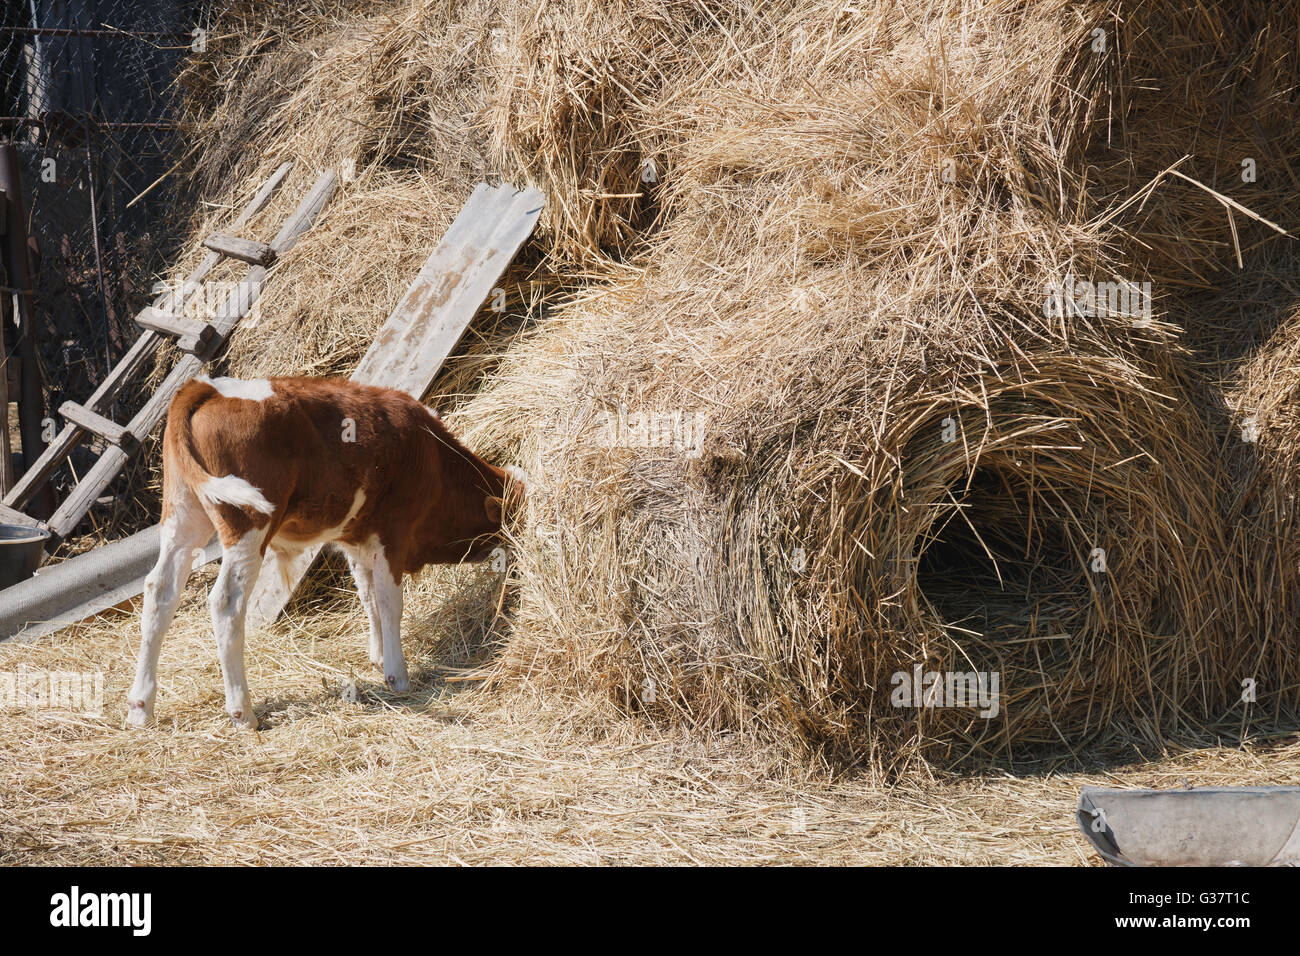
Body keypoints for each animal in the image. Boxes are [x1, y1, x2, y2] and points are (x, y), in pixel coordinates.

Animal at [126, 374, 526, 729]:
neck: (432, 458)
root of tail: (206, 386)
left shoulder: (359, 540)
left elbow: (368, 597)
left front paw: (378, 657)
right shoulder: (394, 534)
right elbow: (390, 603)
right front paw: (397, 674)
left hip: (183, 515)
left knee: (160, 591)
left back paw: (141, 707)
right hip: (247, 523)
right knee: (226, 602)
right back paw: (242, 712)